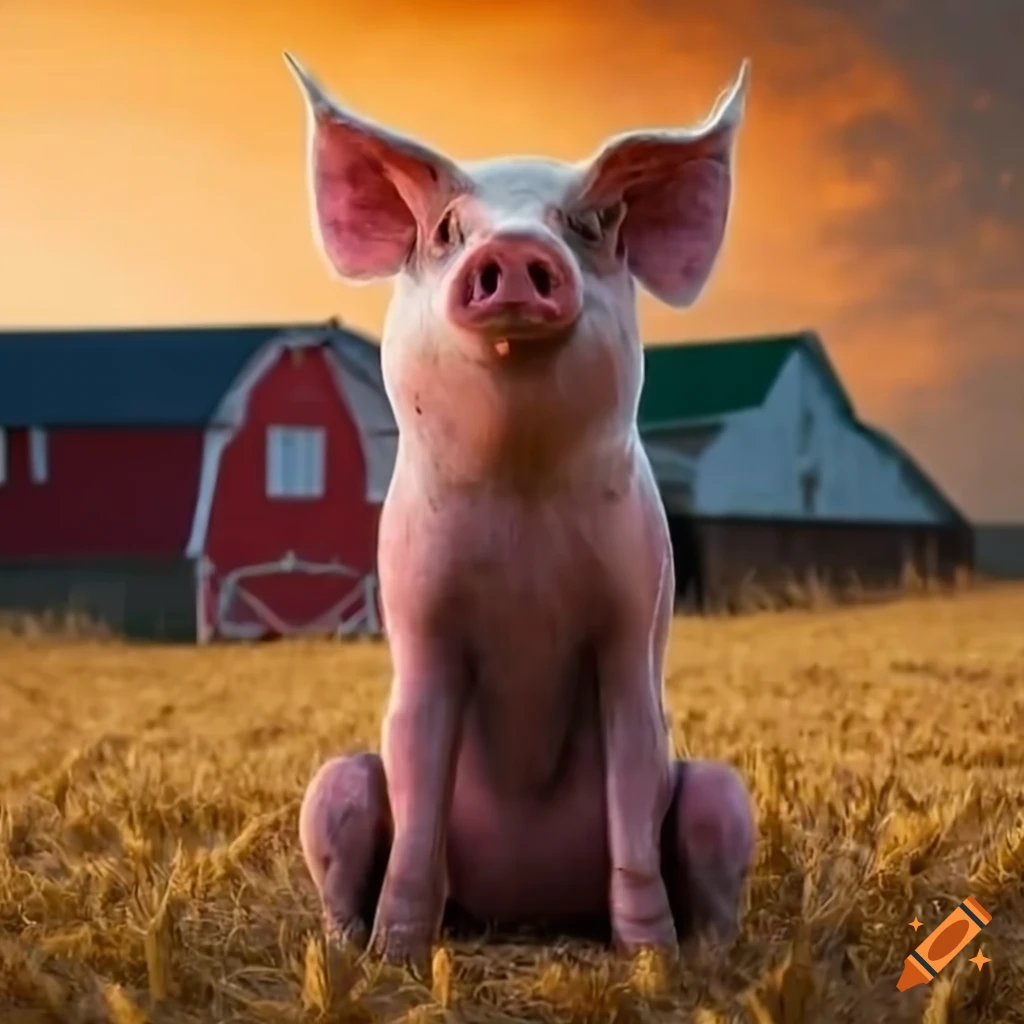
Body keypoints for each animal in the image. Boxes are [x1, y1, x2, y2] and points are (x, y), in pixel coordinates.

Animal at [286, 52, 756, 973]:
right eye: (446, 231)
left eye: (589, 224)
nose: (513, 247)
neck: (522, 496)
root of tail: (527, 910)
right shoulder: (420, 616)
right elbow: (418, 771)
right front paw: (400, 958)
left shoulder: (632, 615)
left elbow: (634, 773)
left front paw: (648, 962)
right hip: (334, 787)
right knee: (343, 798)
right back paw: (347, 952)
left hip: (723, 794)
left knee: (714, 823)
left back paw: (707, 959)